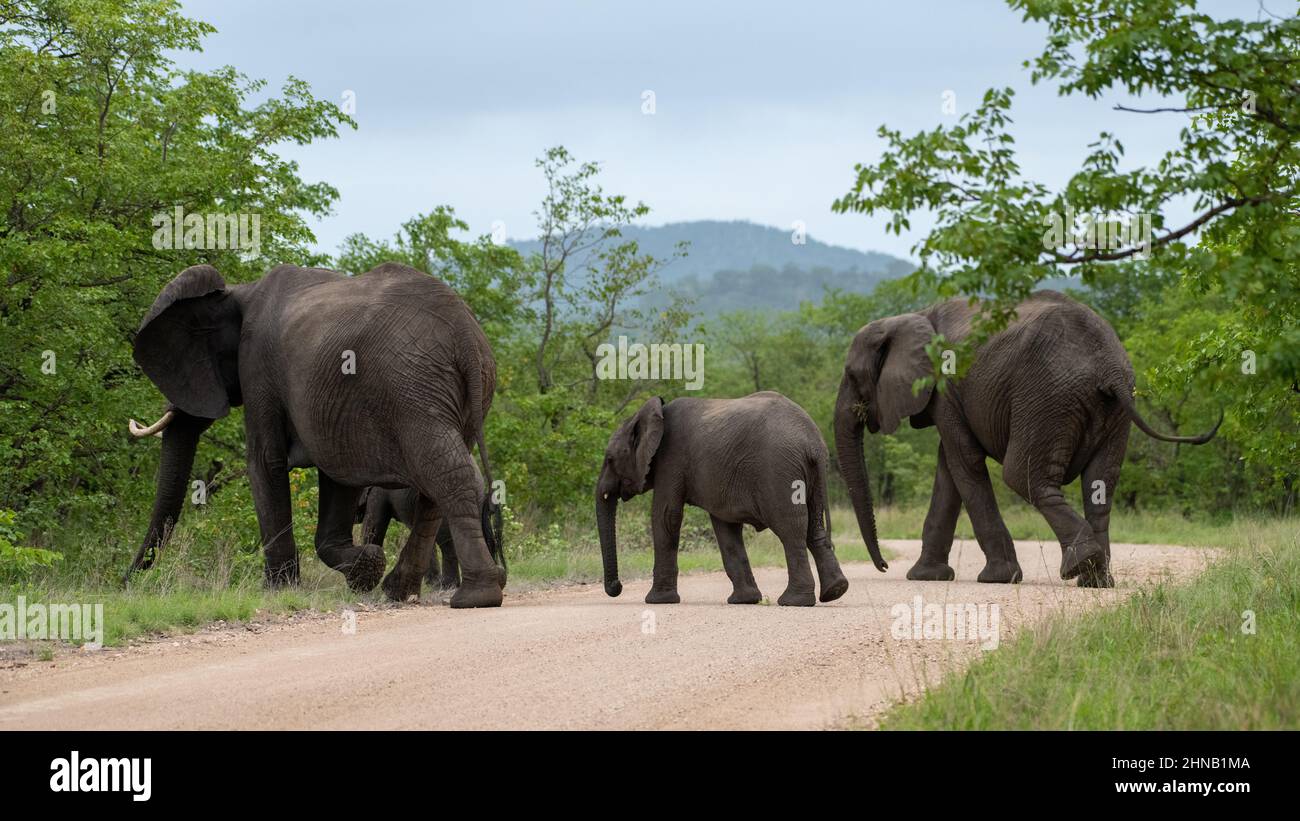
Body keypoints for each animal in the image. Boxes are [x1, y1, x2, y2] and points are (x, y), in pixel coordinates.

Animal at [125, 261, 506, 608]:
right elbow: (339, 472)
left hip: (413, 387)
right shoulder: (338, 408)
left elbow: (265, 462)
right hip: (455, 390)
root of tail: (467, 337)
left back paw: (475, 597)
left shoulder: (257, 366)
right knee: (437, 485)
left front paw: (279, 590)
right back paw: (400, 591)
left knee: (446, 475)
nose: (125, 582)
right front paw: (364, 569)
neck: (238, 291)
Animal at [595, 392, 850, 606]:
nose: (617, 587)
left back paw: (793, 602)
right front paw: (745, 600)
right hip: (812, 477)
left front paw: (657, 601)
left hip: (780, 471)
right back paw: (835, 591)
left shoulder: (671, 459)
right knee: (813, 528)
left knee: (791, 530)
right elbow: (725, 527)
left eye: (609, 459)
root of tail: (812, 443)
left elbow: (666, 516)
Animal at [833, 290, 1221, 588]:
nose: (884, 566)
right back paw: (1096, 580)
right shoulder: (950, 397)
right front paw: (926, 577)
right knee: (1100, 484)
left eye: (852, 376)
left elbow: (964, 463)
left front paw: (997, 578)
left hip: (1047, 397)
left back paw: (1079, 567)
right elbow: (949, 471)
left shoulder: (945, 387)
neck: (913, 316)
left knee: (1023, 476)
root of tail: (1108, 365)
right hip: (1114, 409)